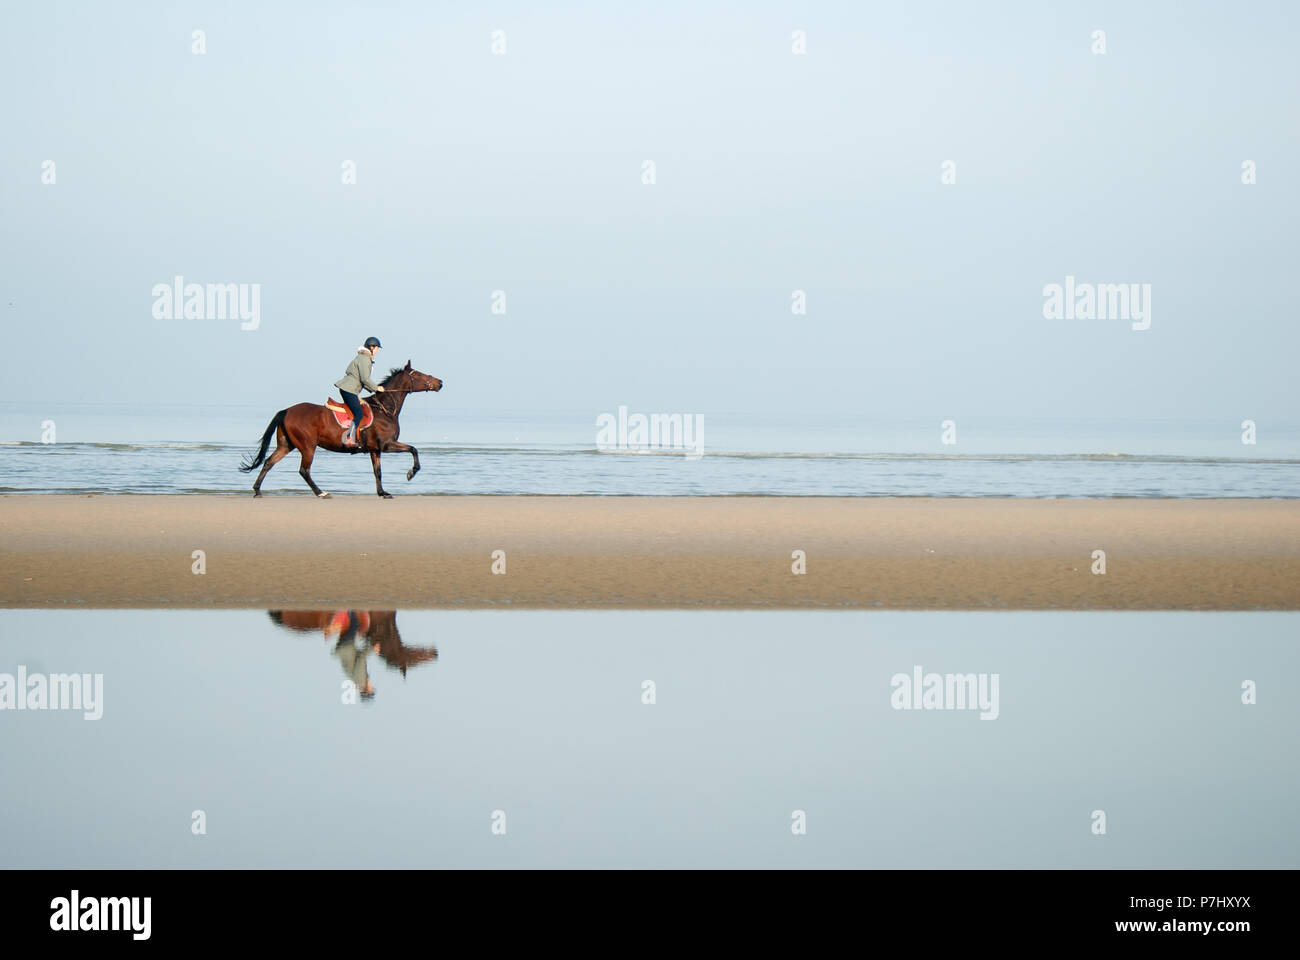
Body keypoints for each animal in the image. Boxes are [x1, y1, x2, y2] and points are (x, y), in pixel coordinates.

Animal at [240, 361, 442, 498]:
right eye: (419, 375)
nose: (440, 382)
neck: (384, 409)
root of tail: (287, 410)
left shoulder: (375, 449)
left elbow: (378, 472)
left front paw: (383, 493)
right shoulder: (387, 445)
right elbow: (413, 449)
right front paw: (411, 473)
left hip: (286, 445)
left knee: (268, 462)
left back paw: (257, 490)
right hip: (307, 446)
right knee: (304, 470)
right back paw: (320, 492)